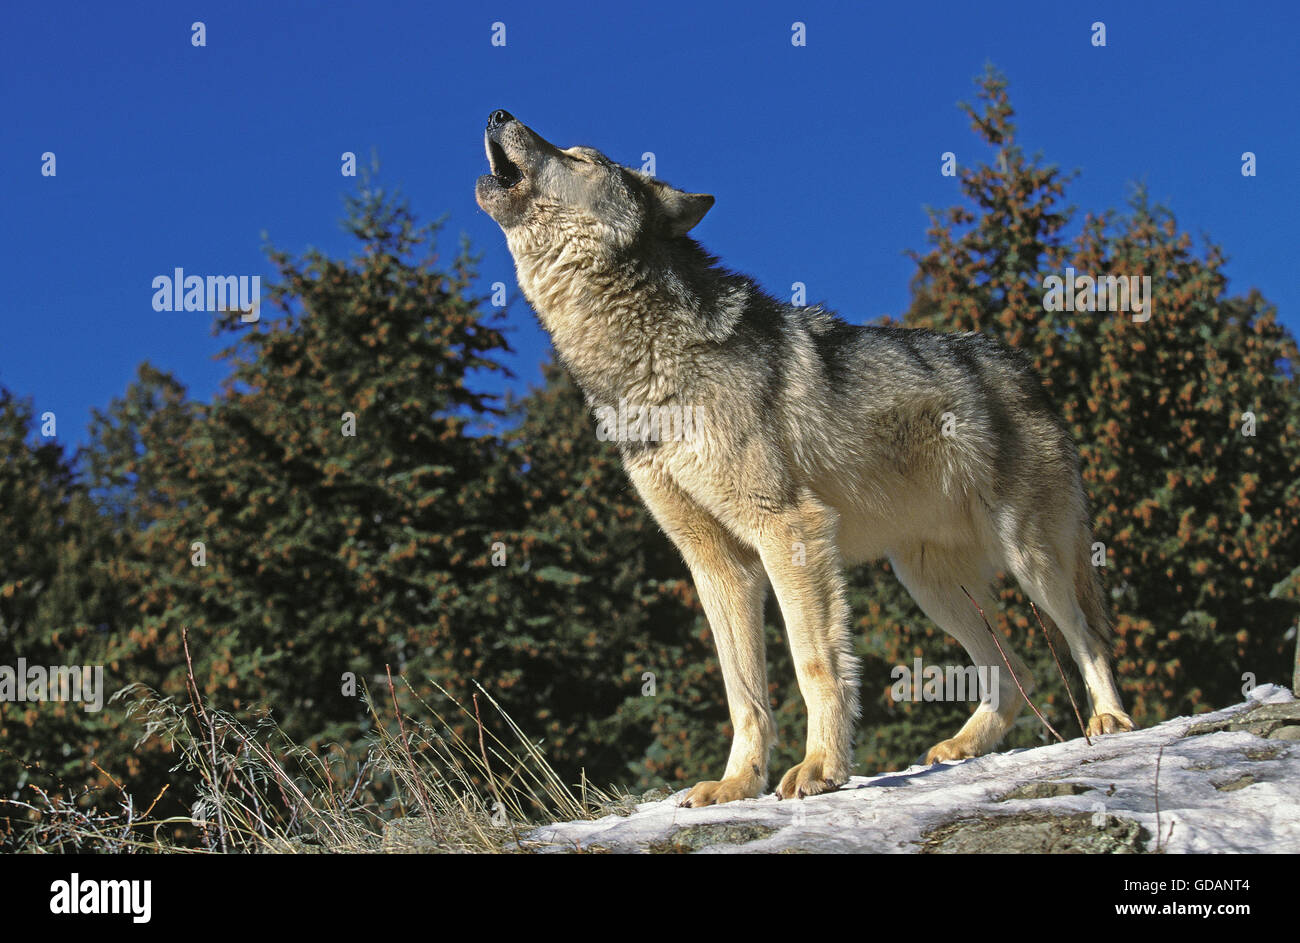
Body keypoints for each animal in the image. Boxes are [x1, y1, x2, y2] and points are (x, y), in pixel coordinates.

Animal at [475, 109, 1133, 806]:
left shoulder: (790, 530)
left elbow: (815, 663)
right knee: (1015, 670)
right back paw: (962, 747)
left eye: (584, 158)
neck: (642, 369)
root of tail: (1024, 366)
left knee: (1086, 634)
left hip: (1028, 554)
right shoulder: (717, 564)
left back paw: (1109, 721)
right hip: (928, 582)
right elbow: (743, 692)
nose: (497, 113)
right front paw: (737, 784)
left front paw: (821, 769)